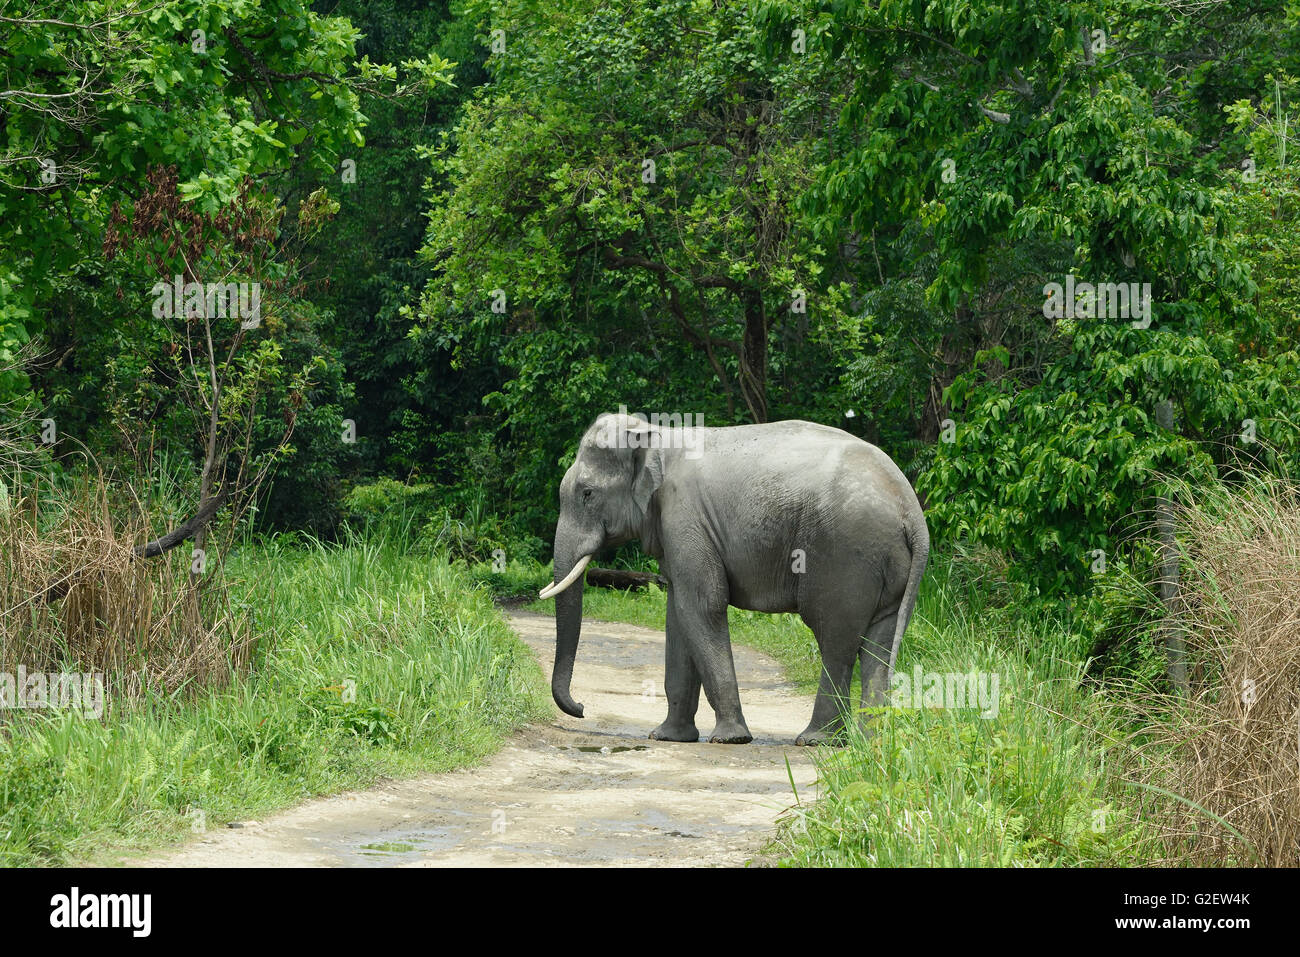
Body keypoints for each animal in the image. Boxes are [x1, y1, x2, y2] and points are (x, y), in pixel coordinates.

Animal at [539, 411, 929, 745]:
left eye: (587, 494)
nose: (582, 708)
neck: (657, 436)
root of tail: (911, 508)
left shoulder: (684, 517)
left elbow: (702, 606)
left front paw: (729, 738)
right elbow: (678, 615)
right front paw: (667, 737)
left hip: (844, 555)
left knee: (836, 641)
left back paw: (817, 740)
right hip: (884, 564)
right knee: (879, 643)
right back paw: (870, 741)